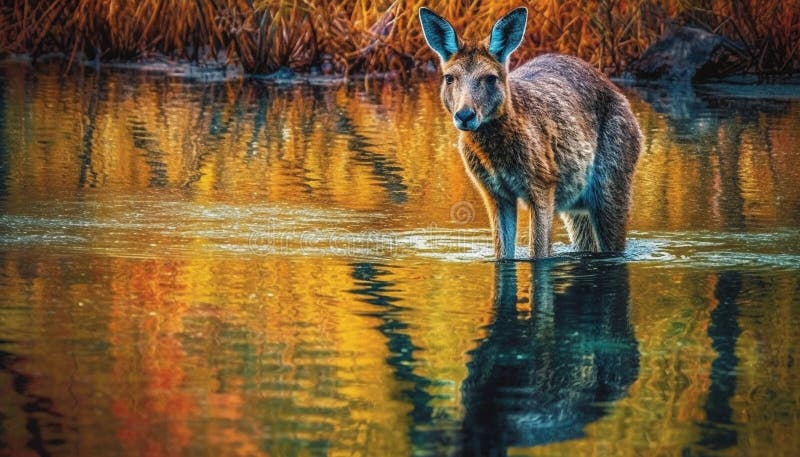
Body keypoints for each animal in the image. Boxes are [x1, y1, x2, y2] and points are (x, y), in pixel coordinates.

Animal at [419, 7, 642, 260]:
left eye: (490, 78)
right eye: (449, 78)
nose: (465, 115)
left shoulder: (543, 184)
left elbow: (538, 252)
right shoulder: (494, 193)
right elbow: (503, 253)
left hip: (611, 185)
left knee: (614, 245)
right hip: (576, 207)